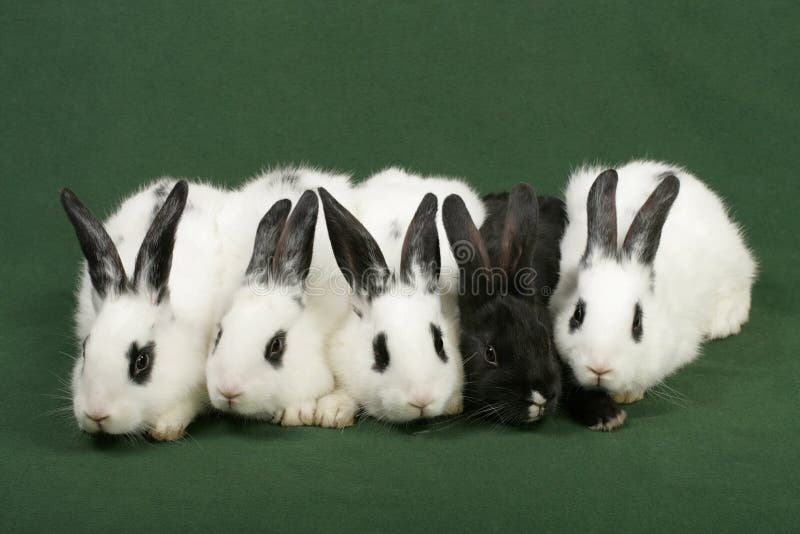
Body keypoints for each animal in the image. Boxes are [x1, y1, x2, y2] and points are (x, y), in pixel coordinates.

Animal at [550, 160, 757, 406]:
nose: (599, 367)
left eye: (637, 323)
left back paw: (723, 323)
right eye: (577, 315)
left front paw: (627, 395)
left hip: (732, 262)